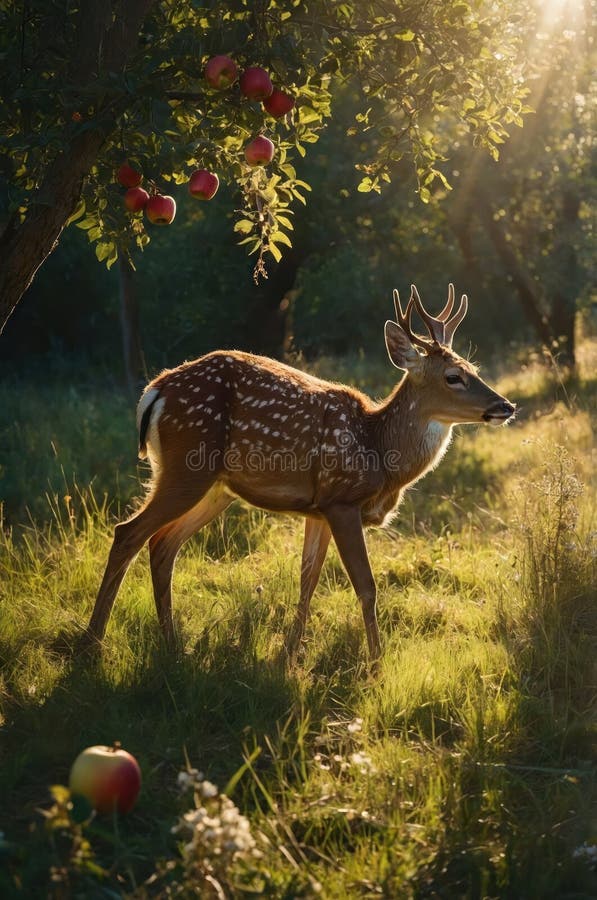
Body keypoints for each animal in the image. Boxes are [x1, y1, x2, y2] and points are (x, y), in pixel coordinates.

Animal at [86, 284, 515, 663]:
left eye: (474, 368)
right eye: (453, 376)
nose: (505, 406)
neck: (378, 451)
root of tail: (153, 392)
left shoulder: (318, 510)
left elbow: (308, 580)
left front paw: (290, 652)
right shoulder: (341, 499)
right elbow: (366, 586)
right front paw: (376, 662)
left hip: (215, 488)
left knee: (162, 544)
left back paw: (172, 644)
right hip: (186, 467)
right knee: (127, 533)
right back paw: (92, 643)